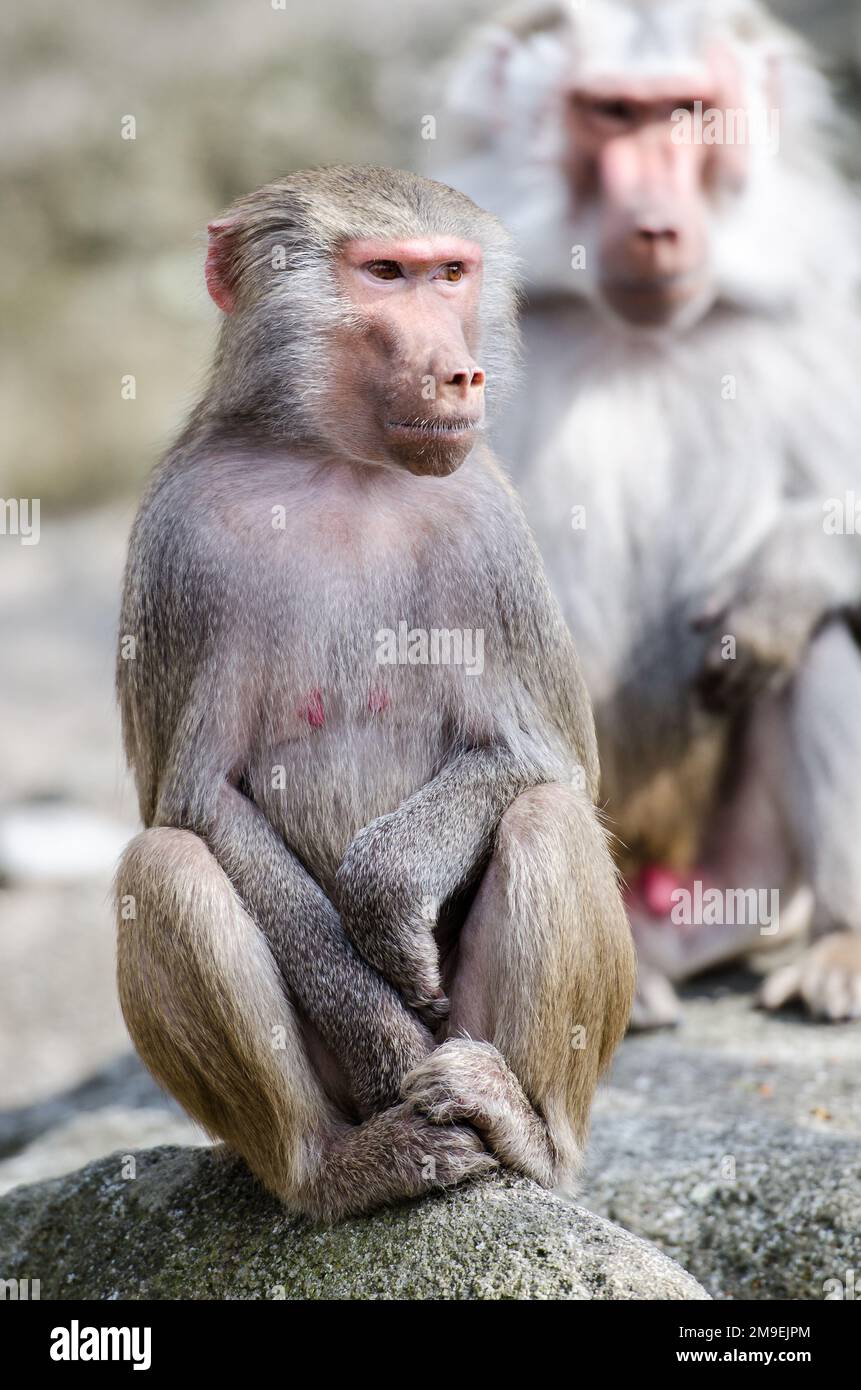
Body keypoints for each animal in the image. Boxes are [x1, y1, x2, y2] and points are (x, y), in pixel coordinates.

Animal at [114, 165, 636, 1221]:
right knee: (164, 869)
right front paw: (386, 1044)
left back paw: (523, 1132)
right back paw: (343, 1166)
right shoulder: (180, 540)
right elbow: (193, 800)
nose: (460, 376)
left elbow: (549, 761)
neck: (341, 468)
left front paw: (386, 893)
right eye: (386, 273)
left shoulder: (487, 526)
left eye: (451, 274)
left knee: (548, 819)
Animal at [434, 0, 861, 1026]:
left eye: (689, 111)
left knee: (811, 639)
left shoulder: (822, 314)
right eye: (612, 114)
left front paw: (775, 591)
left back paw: (839, 947)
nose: (658, 228)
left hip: (741, 879)